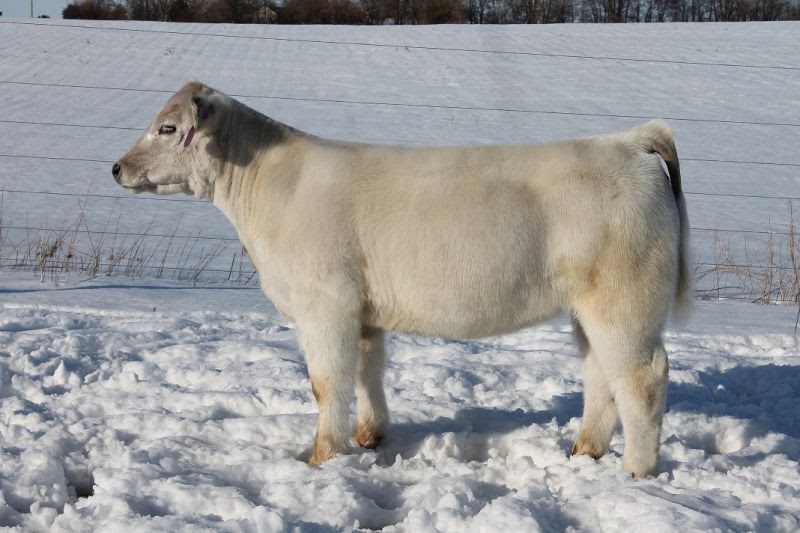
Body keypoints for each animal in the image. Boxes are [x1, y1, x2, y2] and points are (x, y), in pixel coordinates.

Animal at [113, 81, 691, 478]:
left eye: (167, 128)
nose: (117, 168)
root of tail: (629, 140)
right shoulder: (361, 309)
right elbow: (366, 370)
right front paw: (370, 437)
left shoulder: (324, 303)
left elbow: (327, 382)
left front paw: (322, 455)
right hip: (589, 306)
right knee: (600, 373)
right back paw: (583, 451)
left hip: (624, 299)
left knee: (641, 377)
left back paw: (636, 469)